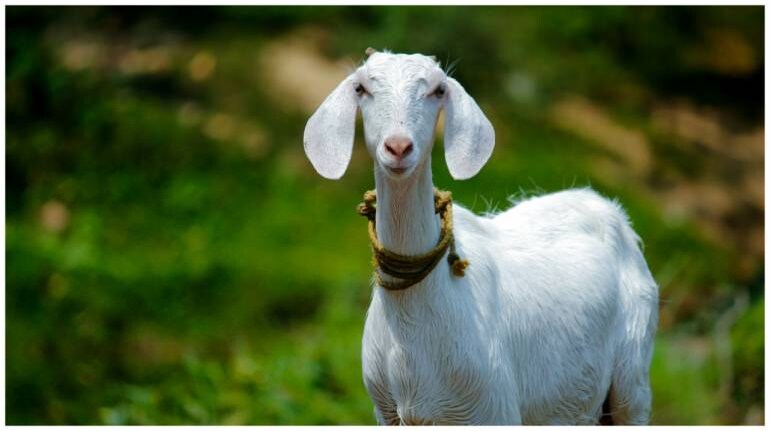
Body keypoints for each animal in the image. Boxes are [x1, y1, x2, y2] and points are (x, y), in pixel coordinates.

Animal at [303, 50, 658, 425]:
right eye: (361, 87)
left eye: (438, 90)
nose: (398, 147)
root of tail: (609, 208)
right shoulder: (386, 412)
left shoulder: (493, 407)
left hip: (634, 373)